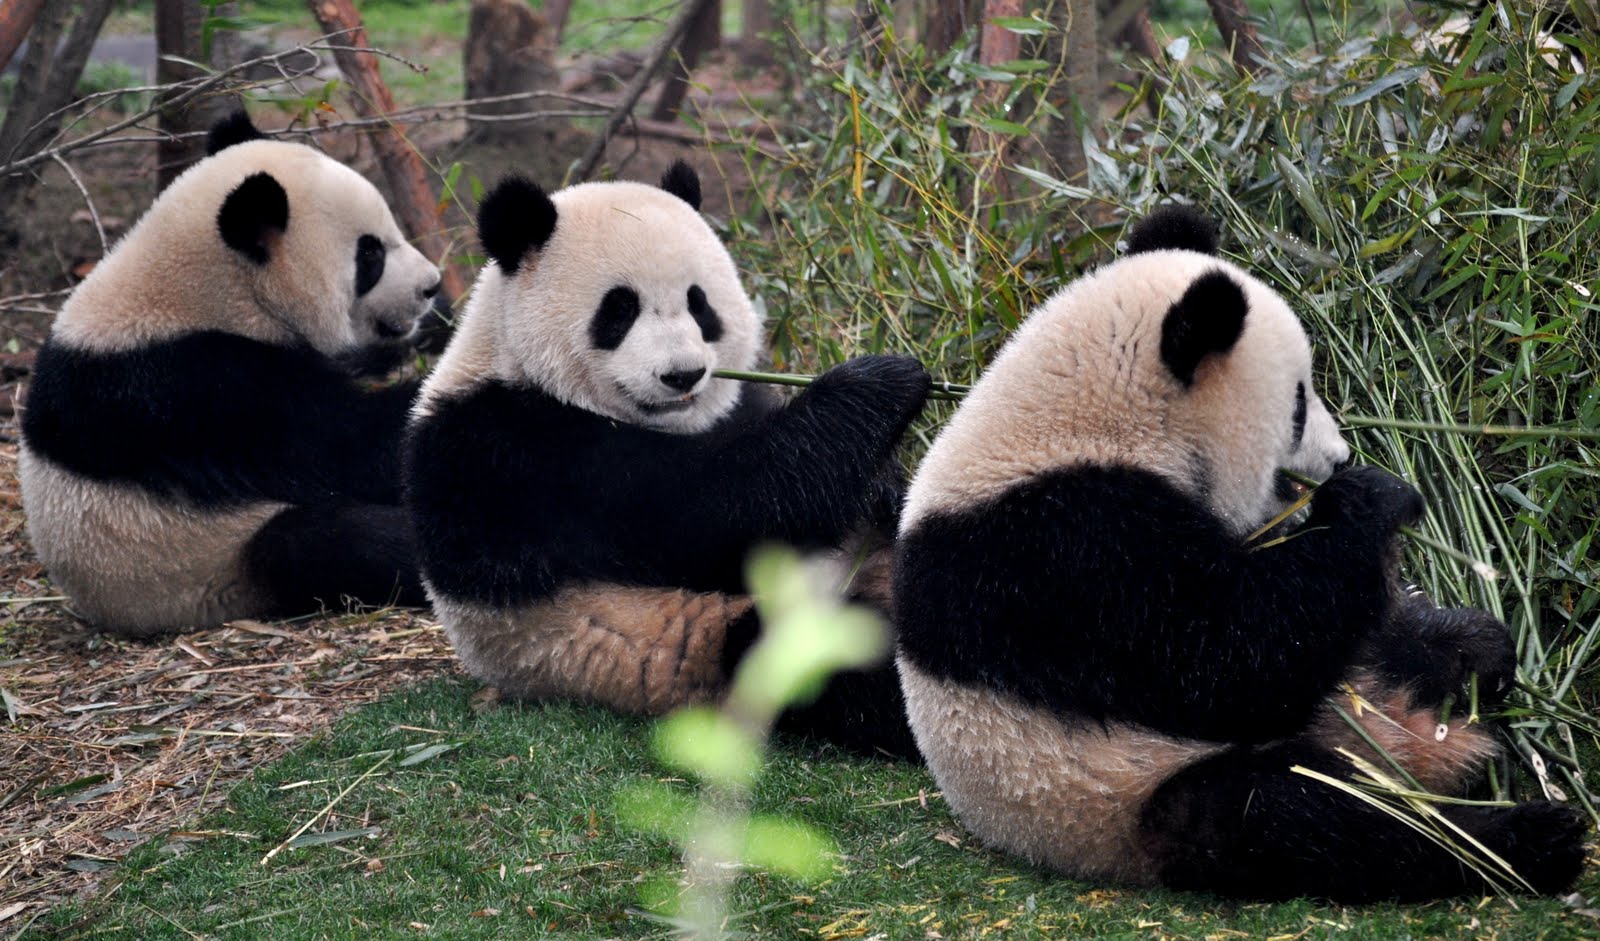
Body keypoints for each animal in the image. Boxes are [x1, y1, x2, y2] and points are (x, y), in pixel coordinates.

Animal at [19, 111, 439, 637]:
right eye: (370, 256)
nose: (432, 286)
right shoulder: (198, 390)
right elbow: (350, 449)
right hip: (208, 560)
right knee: (322, 542)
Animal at [404, 163, 930, 757]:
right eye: (619, 309)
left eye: (699, 305)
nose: (683, 375)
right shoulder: (516, 451)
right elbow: (708, 515)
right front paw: (883, 382)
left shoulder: (734, 404)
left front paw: (885, 482)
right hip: (697, 641)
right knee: (824, 657)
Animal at [892, 205, 1588, 901]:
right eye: (1300, 404)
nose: (1339, 460)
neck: (1073, 418)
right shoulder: (1058, 550)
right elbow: (1226, 660)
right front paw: (1370, 500)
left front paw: (1476, 641)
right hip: (1129, 796)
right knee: (1301, 814)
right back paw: (1524, 838)